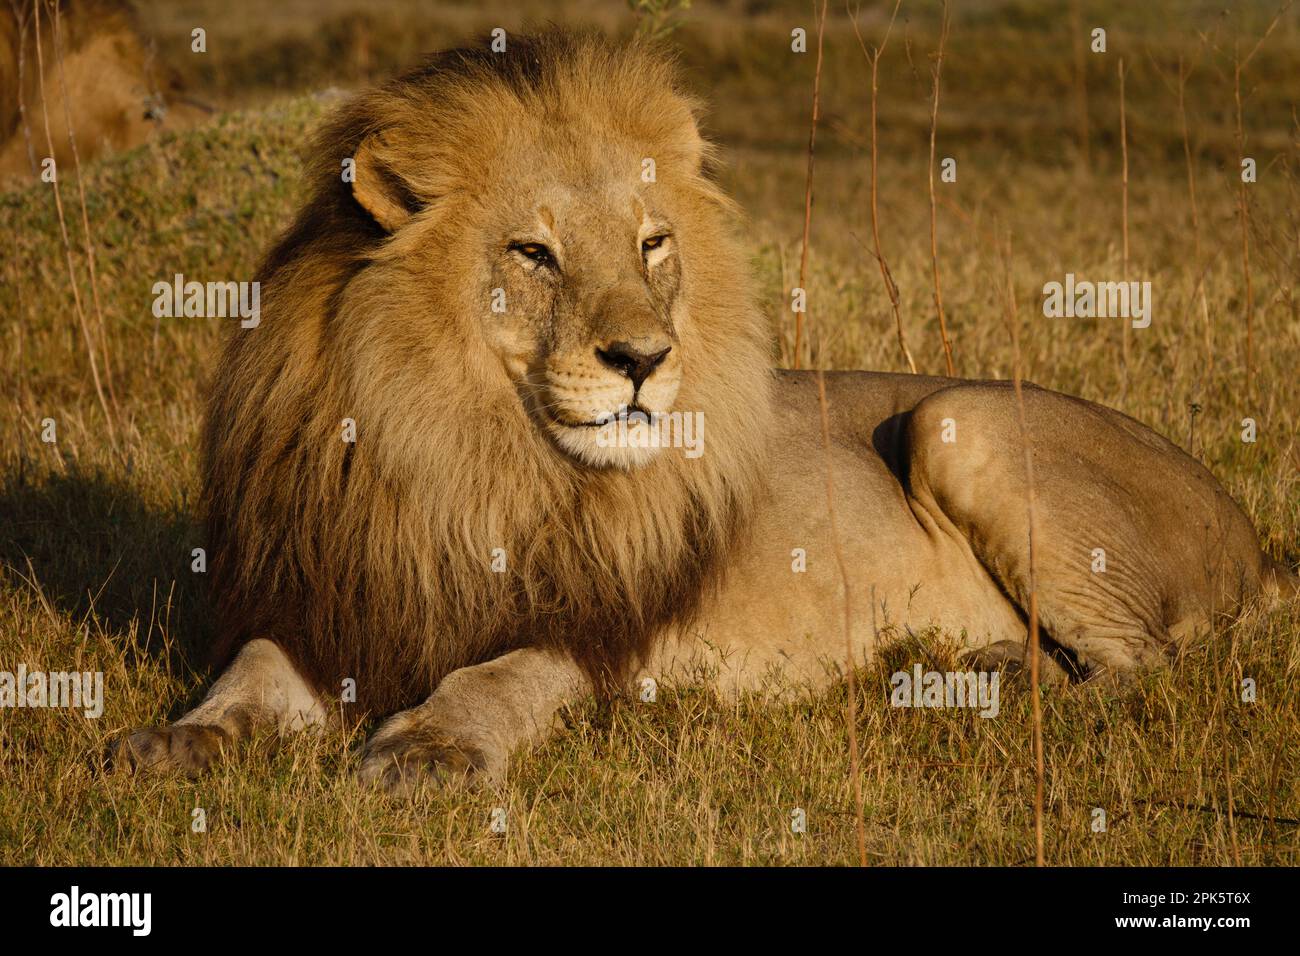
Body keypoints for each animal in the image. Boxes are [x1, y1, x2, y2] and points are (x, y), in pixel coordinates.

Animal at [115, 31, 1295, 792]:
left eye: (651, 244)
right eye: (532, 252)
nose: (644, 358)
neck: (463, 449)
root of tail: (1250, 534)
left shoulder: (596, 633)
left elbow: (499, 672)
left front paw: (429, 750)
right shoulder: (335, 599)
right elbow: (253, 667)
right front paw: (173, 742)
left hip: (962, 419)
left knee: (1147, 673)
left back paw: (955, 699)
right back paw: (972, 668)